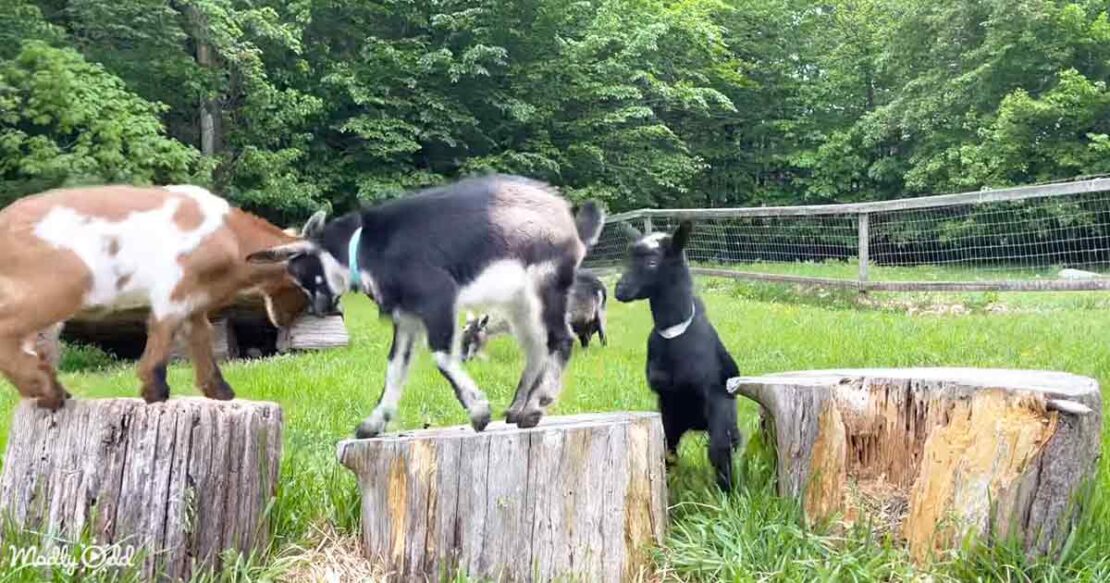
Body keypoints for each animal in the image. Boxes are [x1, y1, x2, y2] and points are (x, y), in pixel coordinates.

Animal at [0, 185, 310, 408]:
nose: (288, 319)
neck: (230, 236)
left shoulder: (194, 302)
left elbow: (201, 338)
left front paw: (221, 392)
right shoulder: (174, 290)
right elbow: (163, 334)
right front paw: (155, 391)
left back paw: (49, 390)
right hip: (60, 288)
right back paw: (48, 389)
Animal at [248, 174, 604, 436]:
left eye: (304, 277)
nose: (322, 310)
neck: (364, 248)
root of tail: (569, 221)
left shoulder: (437, 297)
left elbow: (442, 357)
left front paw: (479, 412)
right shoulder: (407, 318)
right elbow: (395, 368)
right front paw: (372, 424)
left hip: (544, 287)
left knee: (561, 340)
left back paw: (534, 408)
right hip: (520, 306)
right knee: (536, 349)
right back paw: (518, 410)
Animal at [614, 221, 741, 490]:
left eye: (653, 261)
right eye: (629, 258)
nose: (620, 290)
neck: (675, 334)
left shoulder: (717, 397)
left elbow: (719, 449)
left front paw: (727, 494)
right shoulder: (666, 404)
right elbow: (666, 453)